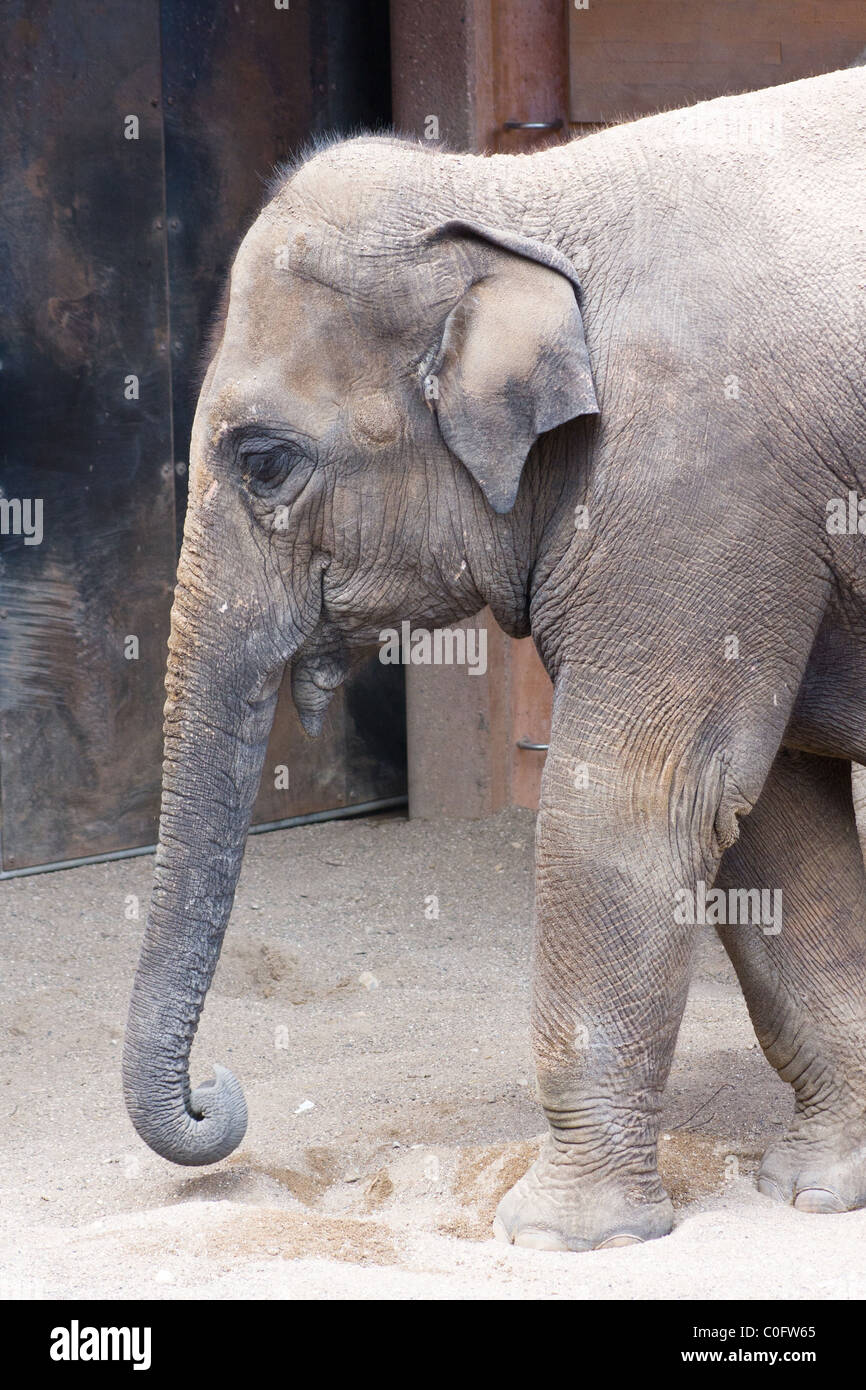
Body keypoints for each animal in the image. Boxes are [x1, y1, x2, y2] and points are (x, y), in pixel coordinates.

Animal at [123, 65, 866, 1252]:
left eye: (264, 461)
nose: (217, 1097)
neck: (521, 191)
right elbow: (765, 817)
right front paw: (816, 1191)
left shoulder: (697, 479)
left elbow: (634, 801)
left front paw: (557, 1236)